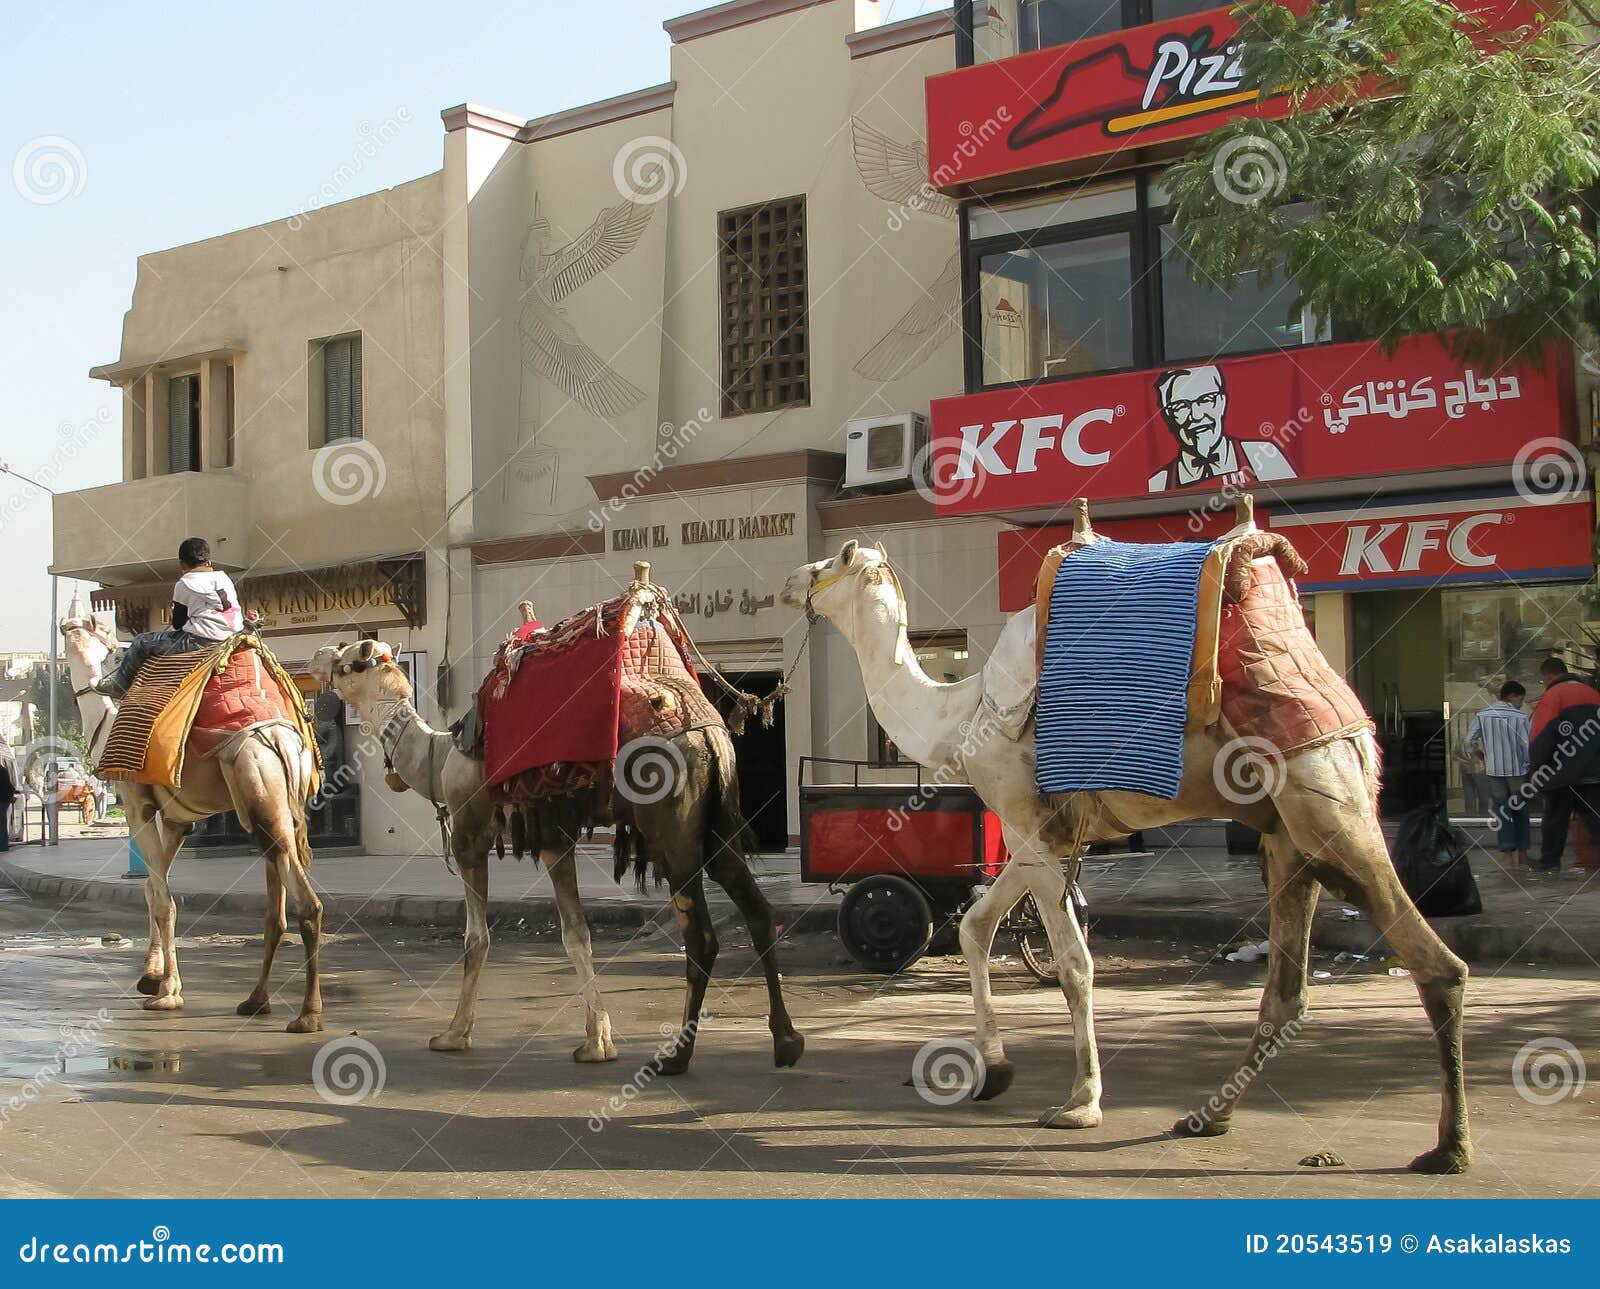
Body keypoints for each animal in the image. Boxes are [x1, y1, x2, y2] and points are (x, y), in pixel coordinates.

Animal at [57, 600, 324, 1033]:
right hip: (278, 810)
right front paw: (151, 976)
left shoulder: (138, 807)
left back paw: (307, 1015)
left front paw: (167, 992)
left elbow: (163, 899)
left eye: (69, 630)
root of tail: (280, 739)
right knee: (277, 908)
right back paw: (256, 1000)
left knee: (307, 905)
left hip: (257, 793)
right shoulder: (179, 820)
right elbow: (153, 889)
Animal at [310, 634, 804, 1073]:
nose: (317, 656)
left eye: (349, 661)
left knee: (701, 936)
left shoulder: (471, 835)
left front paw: (454, 1034)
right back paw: (786, 1041)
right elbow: (576, 934)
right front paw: (597, 1042)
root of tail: (711, 735)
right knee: (759, 911)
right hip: (716, 825)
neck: (438, 758)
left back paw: (676, 1059)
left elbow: (476, 938)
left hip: (671, 829)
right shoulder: (555, 840)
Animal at [780, 516, 1471, 1175]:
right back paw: (1208, 1117)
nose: (789, 583)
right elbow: (977, 927)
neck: (959, 715)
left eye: (830, 562)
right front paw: (995, 1073)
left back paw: (1448, 1147)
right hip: (1286, 835)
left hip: (1323, 802)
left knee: (1436, 963)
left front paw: (1081, 1102)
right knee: (1287, 991)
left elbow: (1073, 964)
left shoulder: (1025, 821)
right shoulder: (1035, 832)